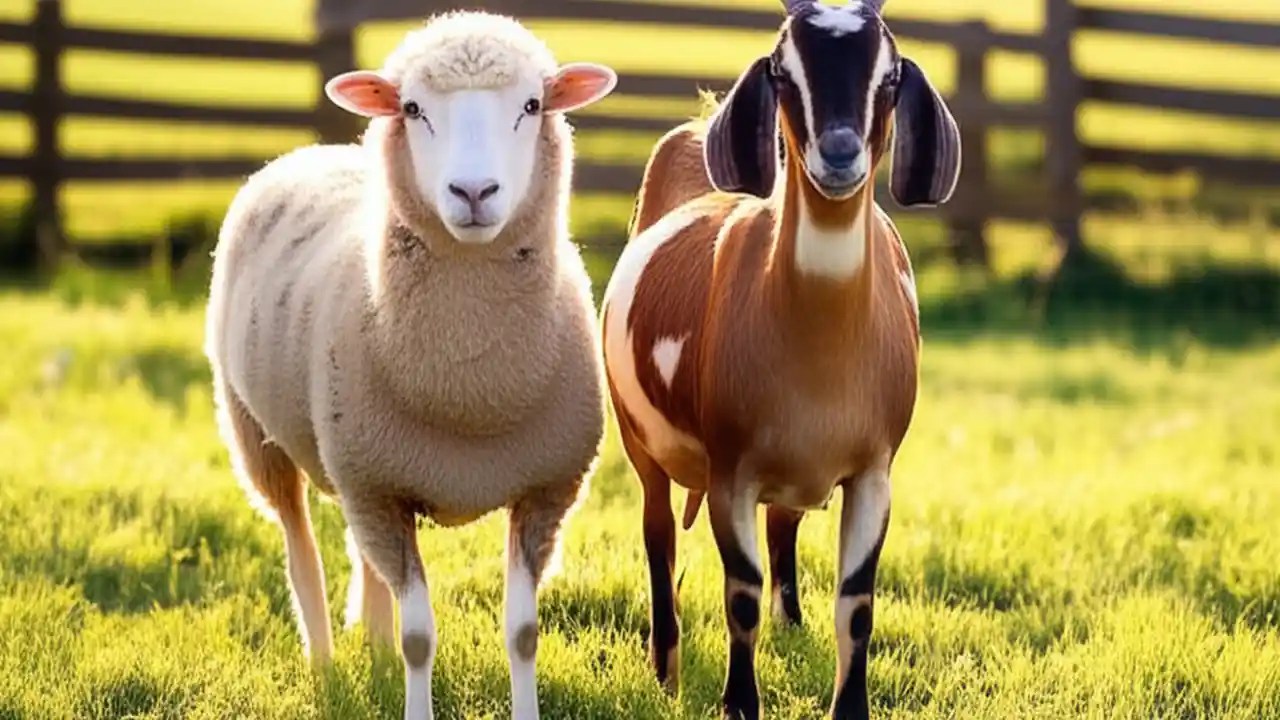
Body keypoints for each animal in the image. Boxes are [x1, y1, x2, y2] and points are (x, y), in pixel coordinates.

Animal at [203, 11, 616, 719]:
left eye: (532, 106)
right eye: (414, 108)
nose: (474, 191)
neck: (470, 388)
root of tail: (312, 150)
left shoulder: (542, 492)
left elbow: (524, 632)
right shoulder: (380, 487)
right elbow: (419, 637)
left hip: (359, 471)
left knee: (362, 559)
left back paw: (371, 646)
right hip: (258, 435)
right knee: (299, 547)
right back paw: (324, 663)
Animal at [601, 1, 959, 717]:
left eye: (890, 75)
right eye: (782, 71)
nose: (841, 152)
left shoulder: (873, 473)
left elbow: (856, 604)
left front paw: (849, 705)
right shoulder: (730, 472)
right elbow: (740, 594)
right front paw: (739, 703)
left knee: (783, 527)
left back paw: (791, 627)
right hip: (639, 441)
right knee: (658, 533)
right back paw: (666, 666)